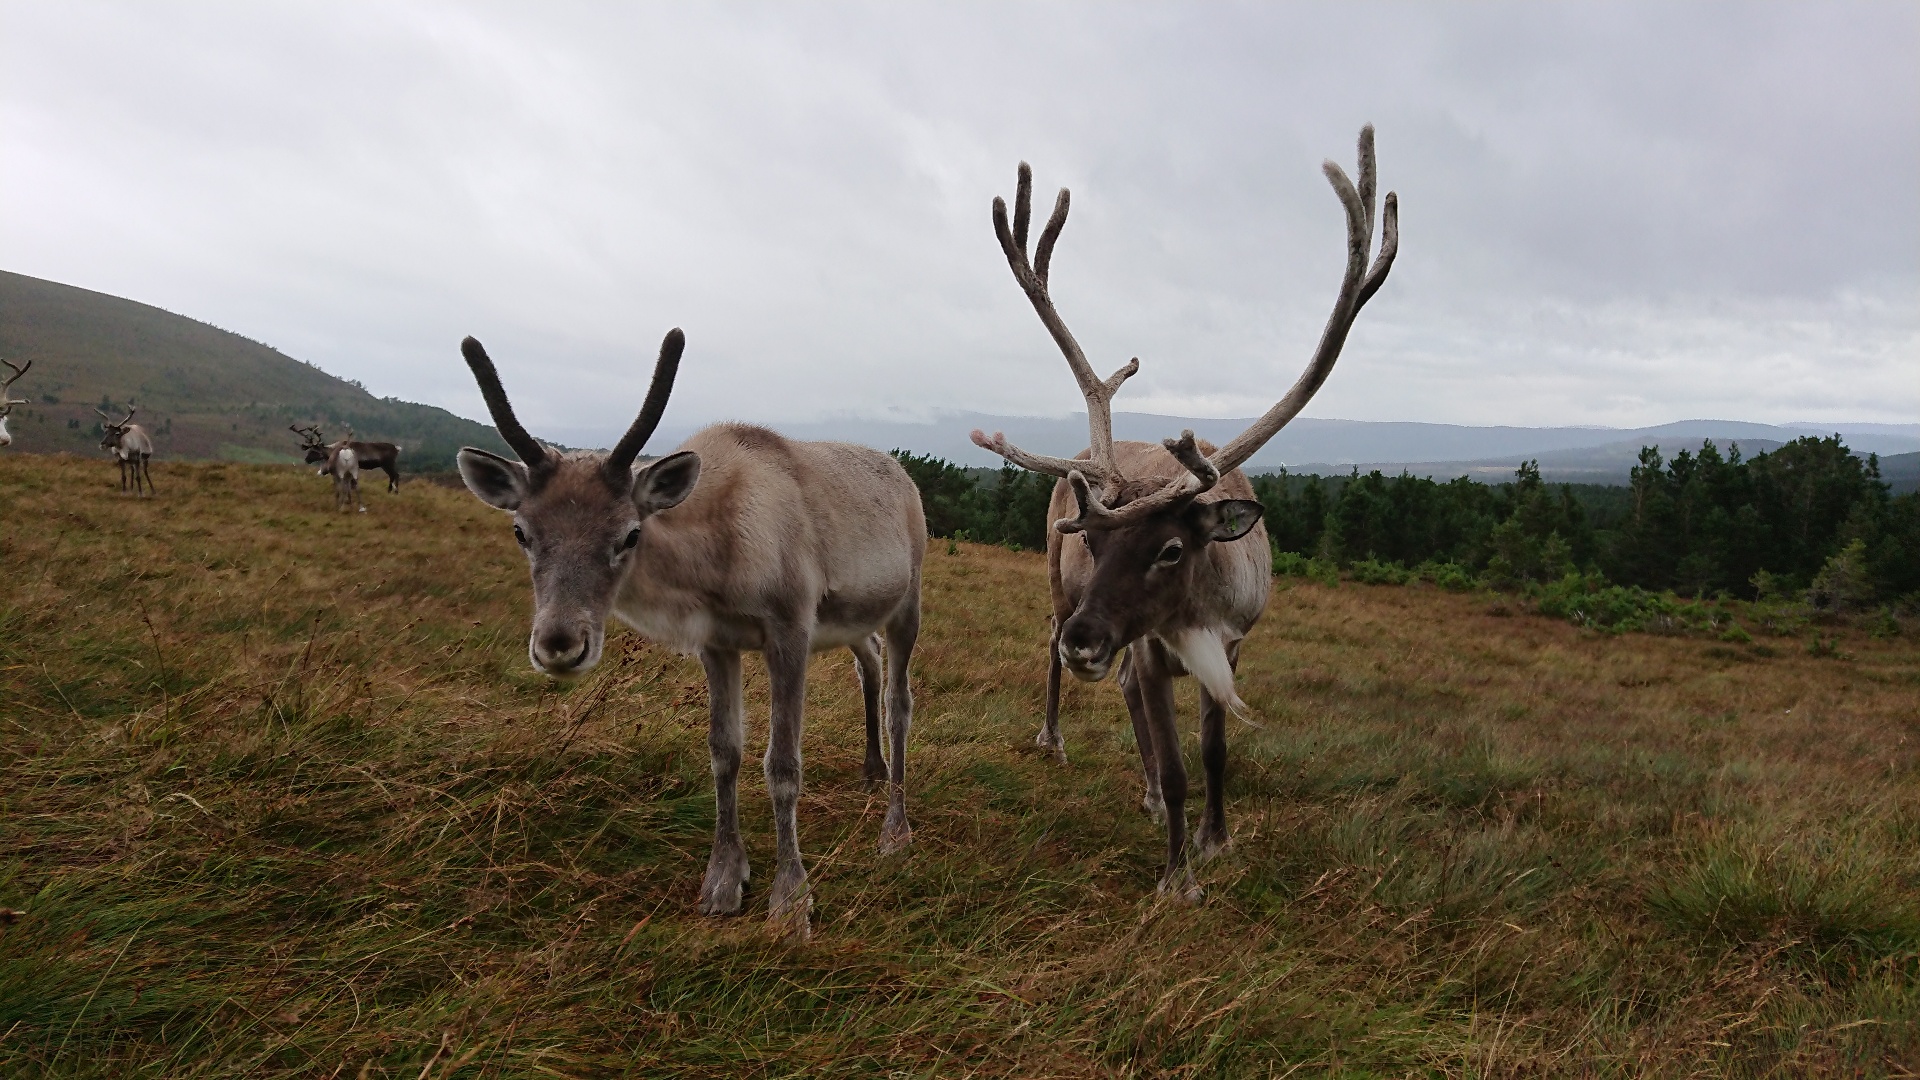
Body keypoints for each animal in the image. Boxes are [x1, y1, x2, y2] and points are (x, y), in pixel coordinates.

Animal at [453, 328, 926, 941]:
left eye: (630, 533)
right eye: (521, 531)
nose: (559, 643)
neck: (717, 564)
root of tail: (904, 475)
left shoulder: (790, 624)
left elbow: (782, 764)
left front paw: (791, 898)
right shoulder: (717, 642)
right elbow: (724, 751)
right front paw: (723, 879)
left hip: (908, 597)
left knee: (900, 701)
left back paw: (895, 828)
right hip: (852, 618)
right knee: (866, 660)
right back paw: (872, 769)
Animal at [971, 126, 1397, 899]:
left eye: (1171, 549)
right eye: (1095, 543)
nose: (1084, 641)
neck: (1195, 610)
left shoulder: (1229, 644)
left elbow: (1213, 751)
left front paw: (1214, 838)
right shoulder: (1143, 644)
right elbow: (1174, 766)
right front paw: (1176, 877)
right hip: (1056, 582)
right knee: (1055, 648)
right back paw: (1054, 736)